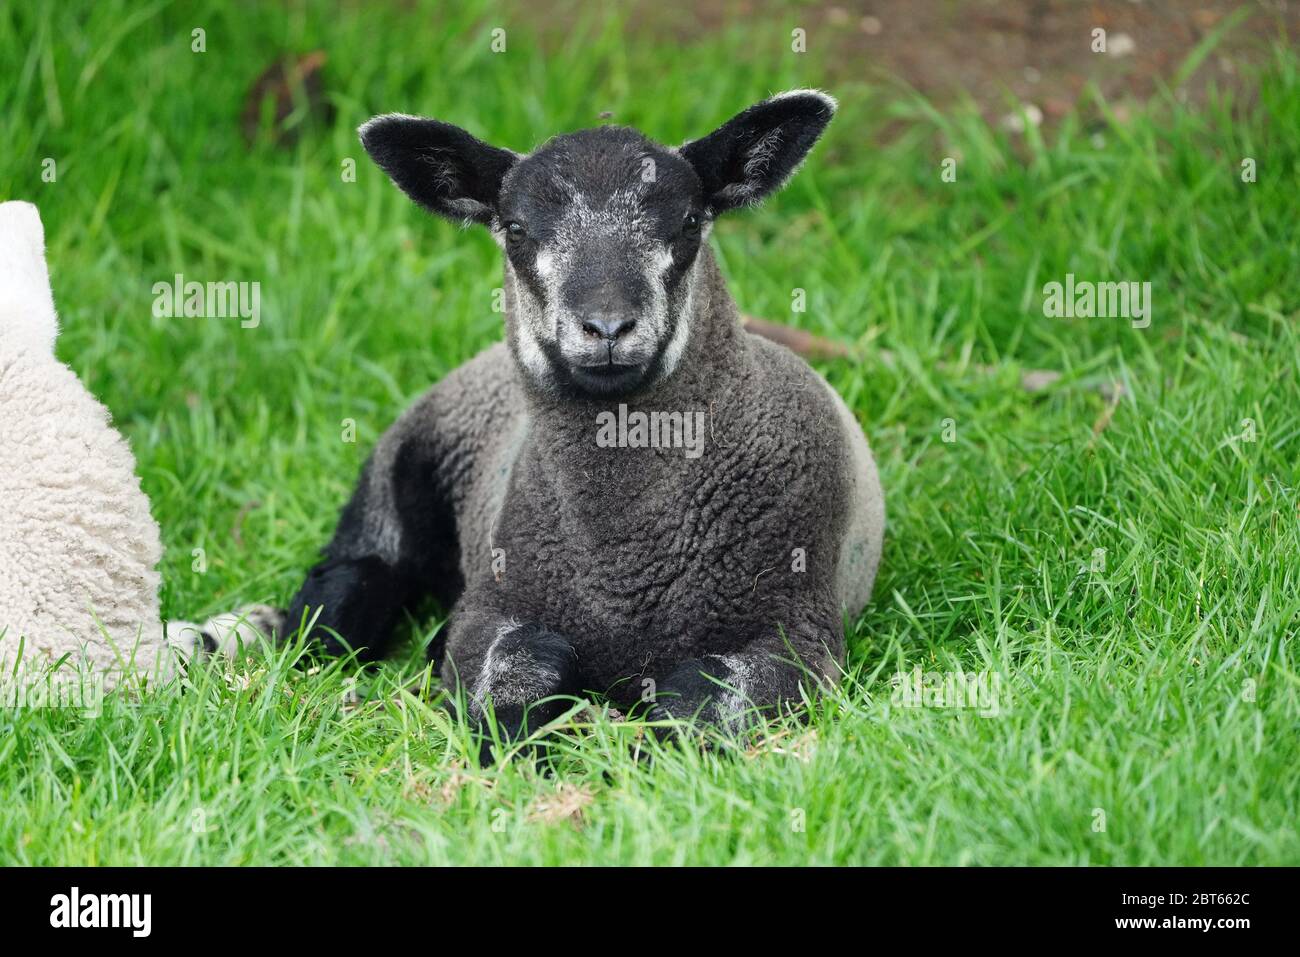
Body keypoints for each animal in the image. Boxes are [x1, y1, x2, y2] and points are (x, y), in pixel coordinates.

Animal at [241, 91, 885, 751]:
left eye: (688, 223)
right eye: (516, 229)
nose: (606, 326)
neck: (624, 565)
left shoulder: (795, 632)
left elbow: (695, 711)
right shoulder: (495, 608)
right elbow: (514, 688)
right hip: (401, 466)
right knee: (351, 581)